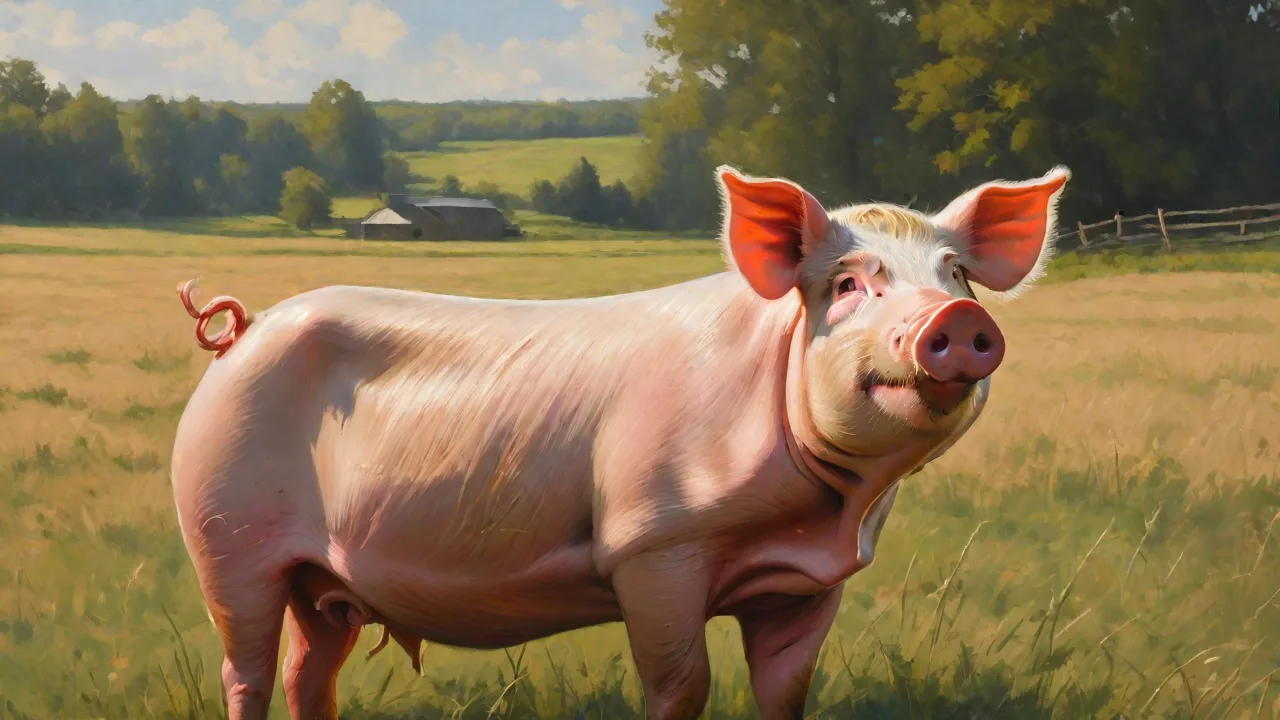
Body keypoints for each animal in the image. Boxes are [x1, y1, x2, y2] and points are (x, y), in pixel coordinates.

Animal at [169, 164, 1070, 720]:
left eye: (956, 273)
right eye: (847, 285)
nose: (958, 318)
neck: (822, 514)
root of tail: (243, 331)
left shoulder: (812, 582)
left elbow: (785, 690)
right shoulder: (652, 545)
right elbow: (682, 686)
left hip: (316, 579)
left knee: (308, 671)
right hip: (225, 536)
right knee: (246, 669)